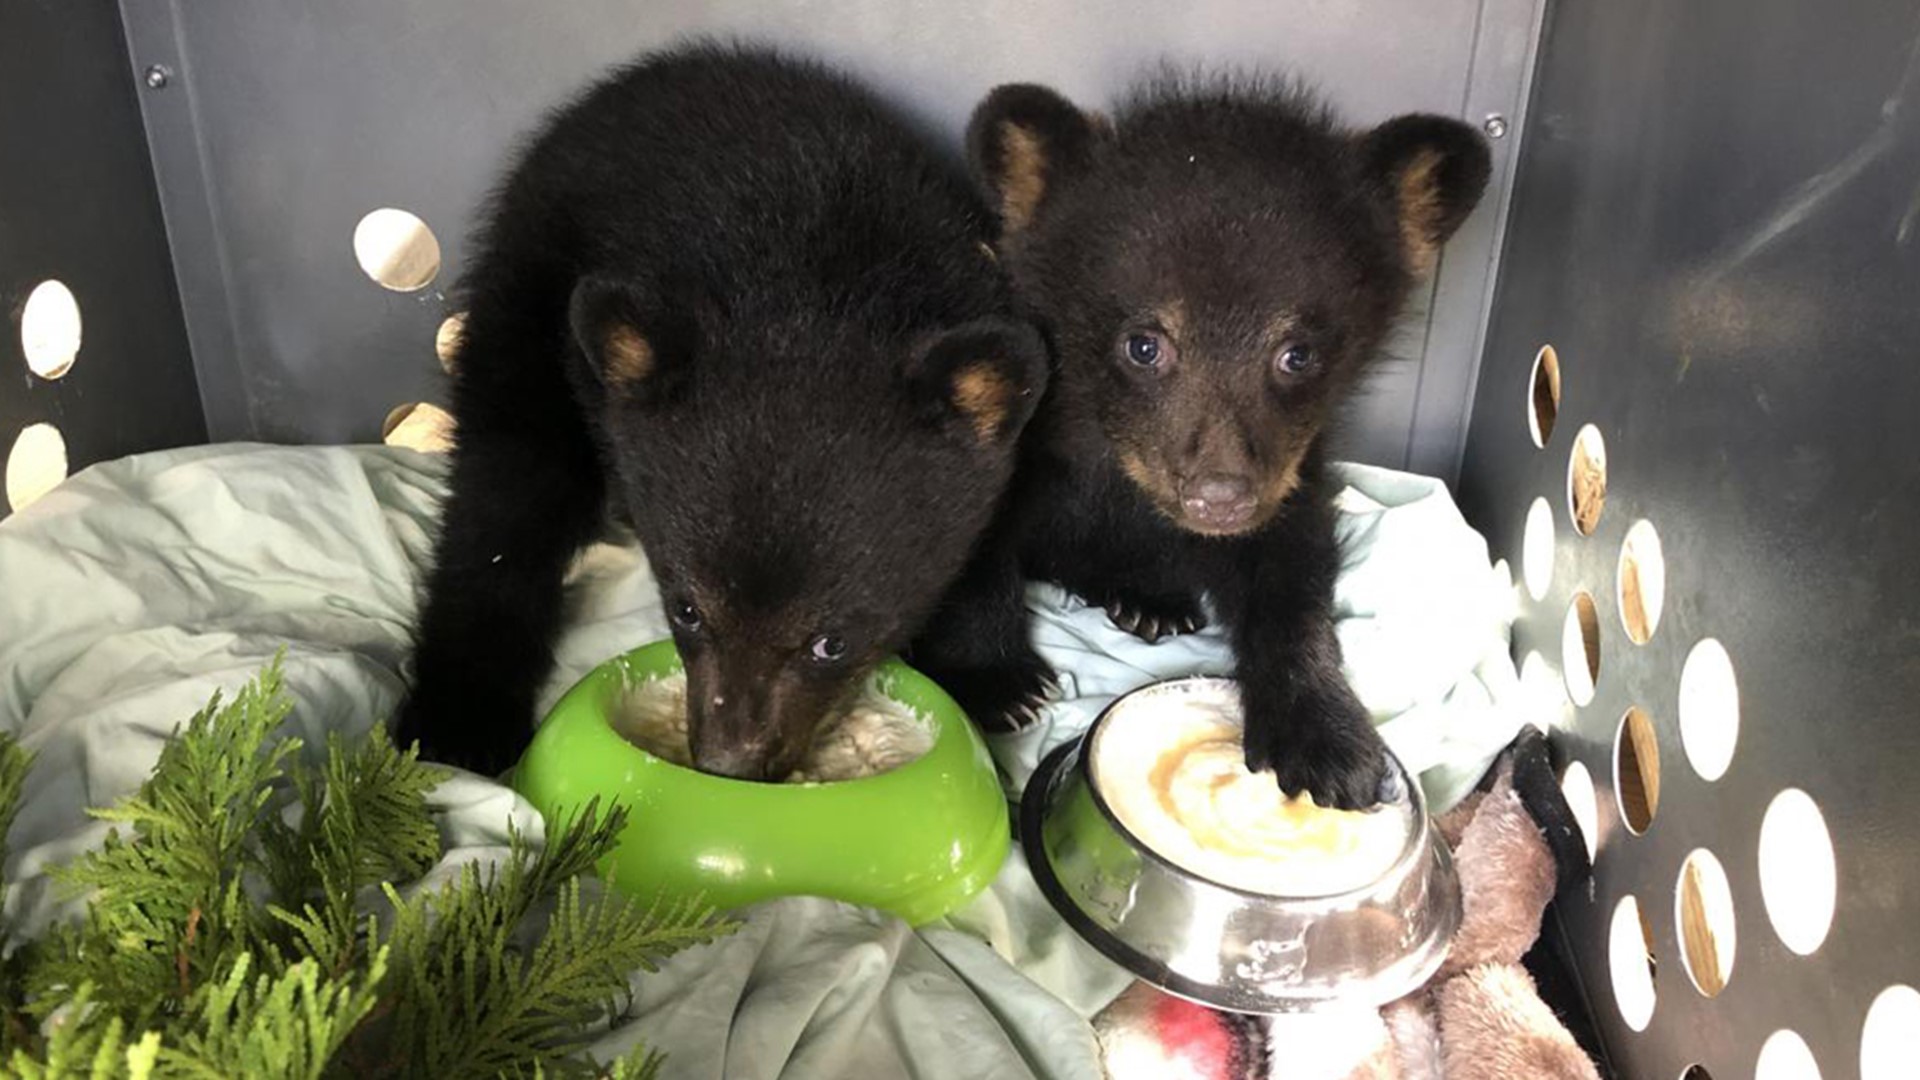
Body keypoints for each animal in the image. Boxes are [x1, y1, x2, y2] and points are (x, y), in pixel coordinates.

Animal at [397, 43, 1048, 779]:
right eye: (687, 610)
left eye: (831, 641)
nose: (728, 762)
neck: (819, 288)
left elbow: (990, 518)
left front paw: (1000, 680)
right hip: (528, 298)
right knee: (504, 484)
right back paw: (459, 716)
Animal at [907, 70, 1490, 809]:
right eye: (1143, 344)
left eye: (1298, 354)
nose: (1220, 498)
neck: (1120, 476)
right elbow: (971, 544)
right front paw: (1000, 681)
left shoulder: (1294, 468)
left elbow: (1291, 573)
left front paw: (1326, 740)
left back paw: (1150, 600)